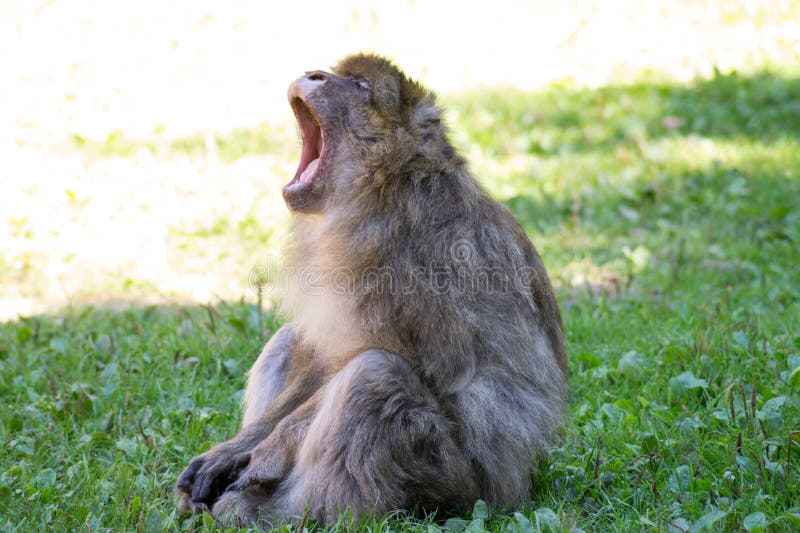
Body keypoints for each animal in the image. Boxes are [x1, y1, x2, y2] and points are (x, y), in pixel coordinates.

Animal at [174, 53, 568, 528]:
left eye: (360, 86)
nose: (313, 75)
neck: (382, 187)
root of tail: (516, 485)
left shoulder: (413, 258)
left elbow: (414, 366)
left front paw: (267, 452)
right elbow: (328, 356)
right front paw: (234, 449)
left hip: (453, 481)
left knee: (374, 375)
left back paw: (278, 512)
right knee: (293, 341)